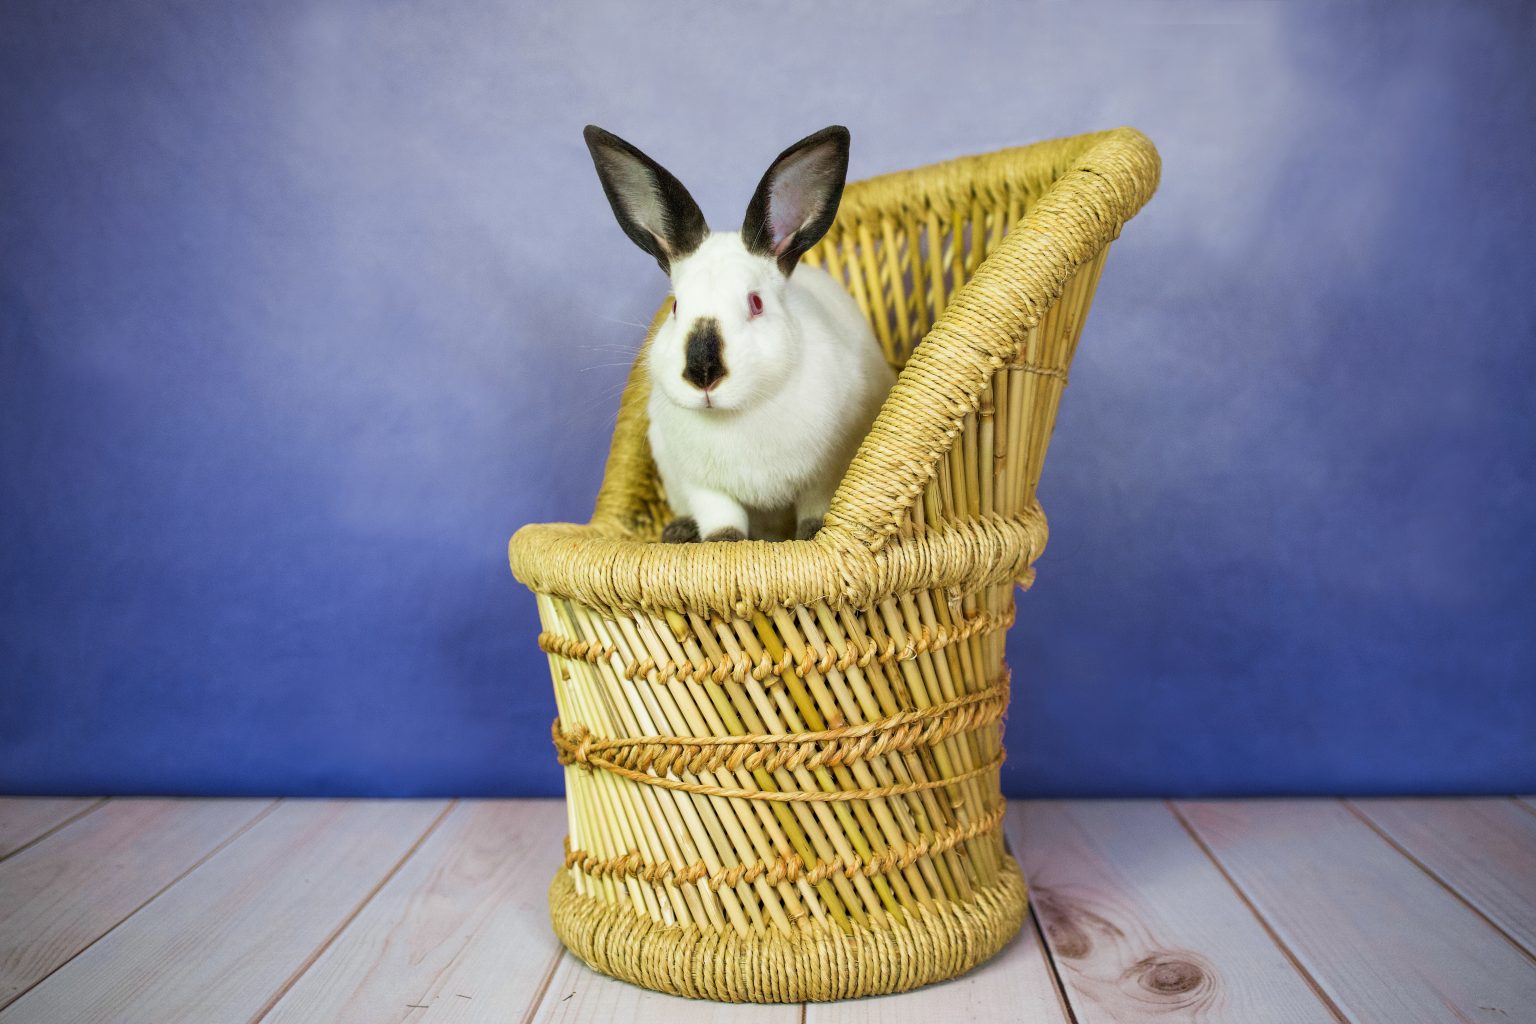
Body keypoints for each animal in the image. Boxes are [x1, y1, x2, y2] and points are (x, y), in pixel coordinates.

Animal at [583, 123, 896, 543]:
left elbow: (815, 509)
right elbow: (722, 520)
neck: (736, 415)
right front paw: (724, 544)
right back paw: (678, 532)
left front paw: (810, 537)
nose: (702, 373)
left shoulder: (824, 474)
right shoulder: (702, 486)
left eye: (756, 302)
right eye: (676, 307)